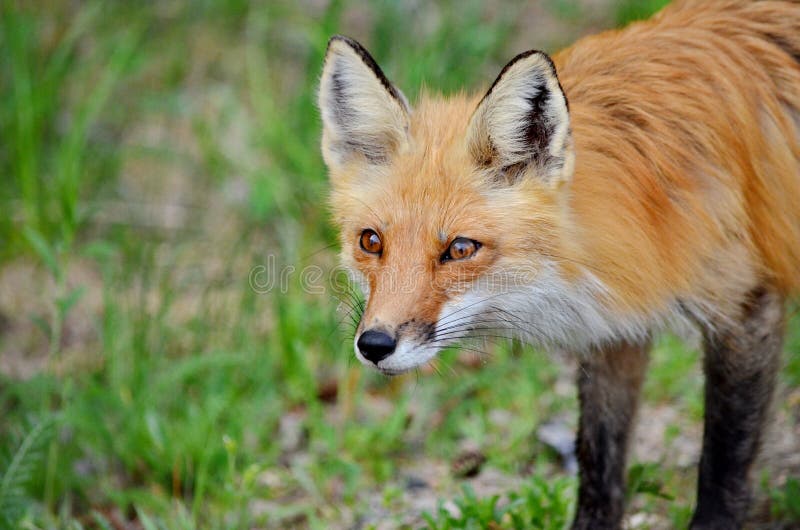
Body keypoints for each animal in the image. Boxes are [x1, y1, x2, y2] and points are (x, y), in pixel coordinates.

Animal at [317, 1, 800, 528]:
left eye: (460, 249)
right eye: (370, 242)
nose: (374, 346)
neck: (649, 203)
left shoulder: (747, 308)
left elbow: (724, 466)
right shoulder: (616, 331)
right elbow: (598, 463)